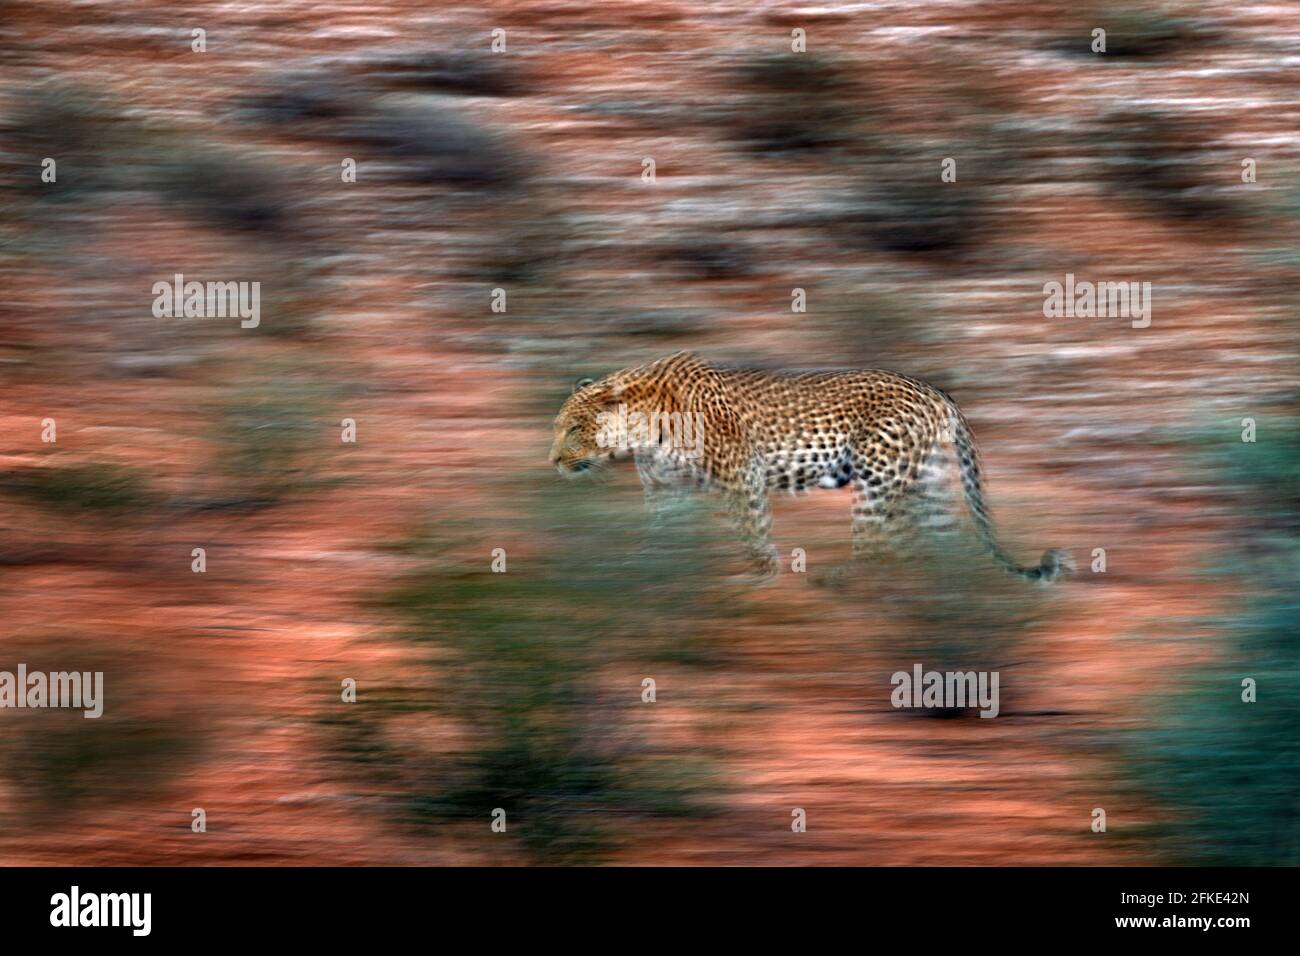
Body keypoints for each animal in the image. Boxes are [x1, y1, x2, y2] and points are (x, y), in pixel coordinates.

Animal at [548, 351, 1071, 583]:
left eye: (573, 428)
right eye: (559, 427)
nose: (551, 461)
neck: (646, 428)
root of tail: (935, 390)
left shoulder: (742, 474)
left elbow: (752, 527)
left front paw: (759, 573)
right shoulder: (666, 491)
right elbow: (658, 535)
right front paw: (643, 568)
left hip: (879, 474)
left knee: (878, 544)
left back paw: (846, 578)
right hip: (928, 479)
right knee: (941, 538)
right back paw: (950, 587)